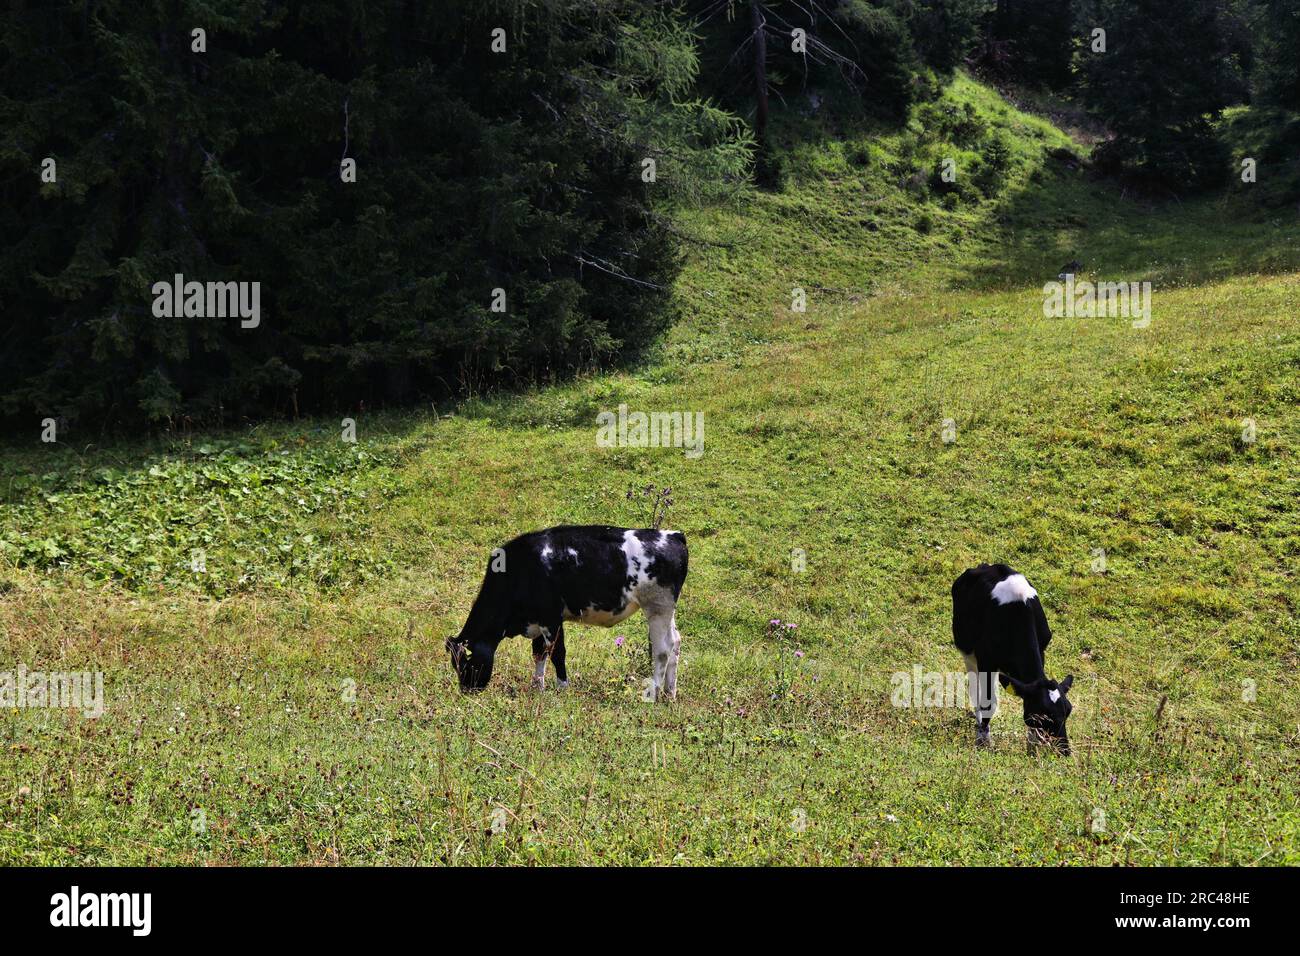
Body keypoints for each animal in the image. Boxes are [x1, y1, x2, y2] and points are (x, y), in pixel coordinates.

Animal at [446, 526, 688, 699]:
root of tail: (674, 536)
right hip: (666, 611)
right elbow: (539, 653)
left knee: (662, 650)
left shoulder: (550, 618)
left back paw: (653, 694)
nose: (466, 691)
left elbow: (557, 653)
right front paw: (537, 687)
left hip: (657, 608)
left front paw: (562, 687)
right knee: (675, 642)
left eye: (466, 663)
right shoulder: (541, 620)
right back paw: (670, 693)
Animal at [952, 564, 1074, 754]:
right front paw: (983, 742)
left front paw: (1032, 747)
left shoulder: (1042, 650)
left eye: (1068, 711)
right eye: (1042, 716)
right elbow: (988, 703)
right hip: (968, 652)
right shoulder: (987, 660)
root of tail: (987, 566)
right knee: (975, 688)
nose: (1064, 750)